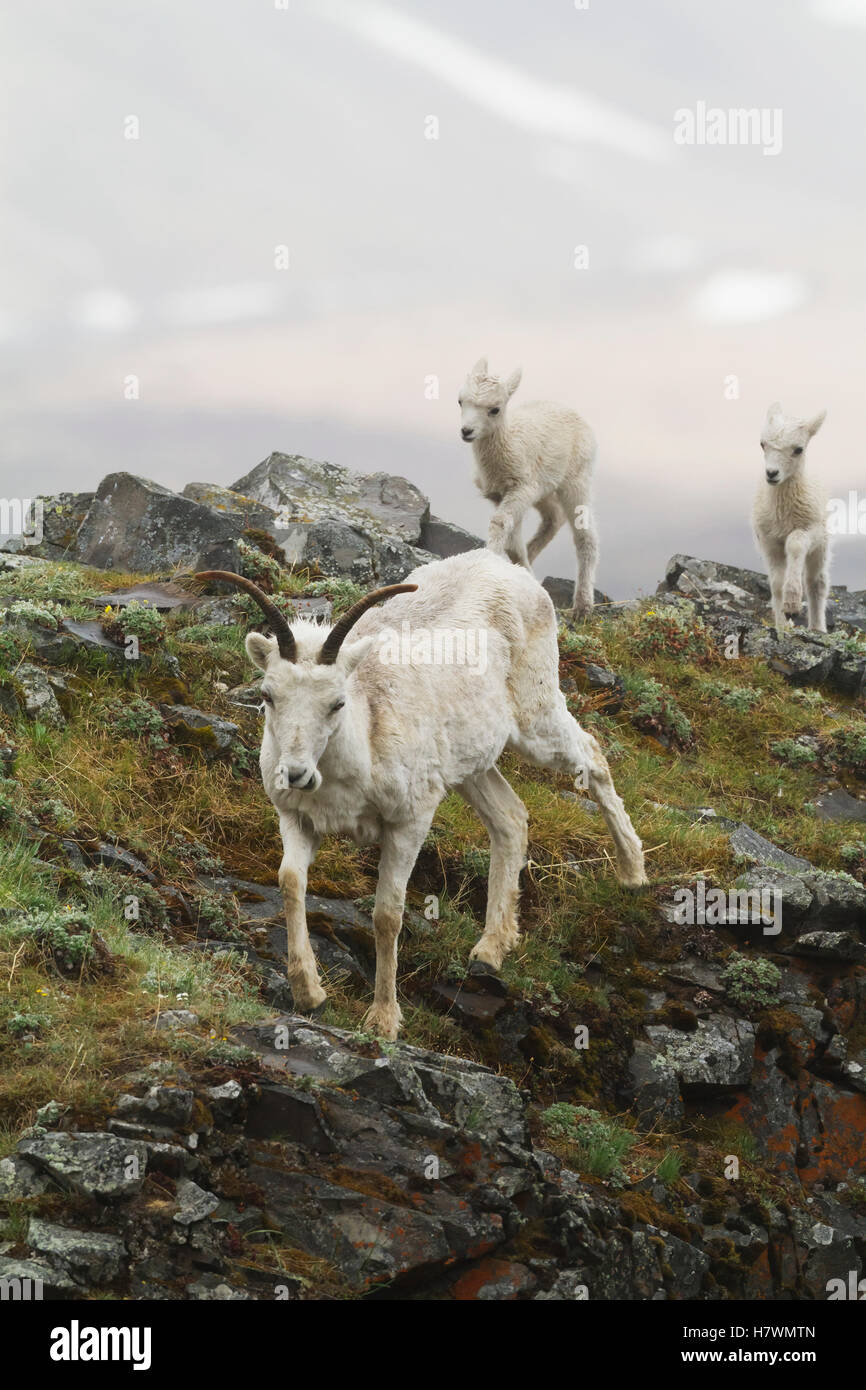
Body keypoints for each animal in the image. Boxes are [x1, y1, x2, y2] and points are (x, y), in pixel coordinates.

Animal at [196, 549, 646, 1040]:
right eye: (268, 695)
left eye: (337, 702)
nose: (294, 774)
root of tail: (504, 566)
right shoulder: (298, 821)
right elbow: (290, 883)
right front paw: (309, 994)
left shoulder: (409, 823)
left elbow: (387, 915)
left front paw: (383, 1021)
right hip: (472, 766)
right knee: (510, 819)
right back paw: (491, 949)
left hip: (536, 722)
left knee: (593, 756)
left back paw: (633, 874)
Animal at [458, 357, 599, 619]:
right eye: (460, 401)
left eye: (495, 409)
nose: (467, 431)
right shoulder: (503, 494)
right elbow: (513, 541)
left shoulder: (520, 489)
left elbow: (499, 524)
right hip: (544, 490)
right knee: (554, 518)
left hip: (576, 479)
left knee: (584, 534)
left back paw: (583, 607)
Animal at [753, 402, 829, 633]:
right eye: (762, 444)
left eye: (798, 449)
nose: (772, 474)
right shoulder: (768, 540)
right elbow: (776, 584)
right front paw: (782, 624)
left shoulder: (809, 529)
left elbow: (795, 545)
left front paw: (792, 605)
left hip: (821, 544)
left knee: (816, 583)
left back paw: (818, 628)